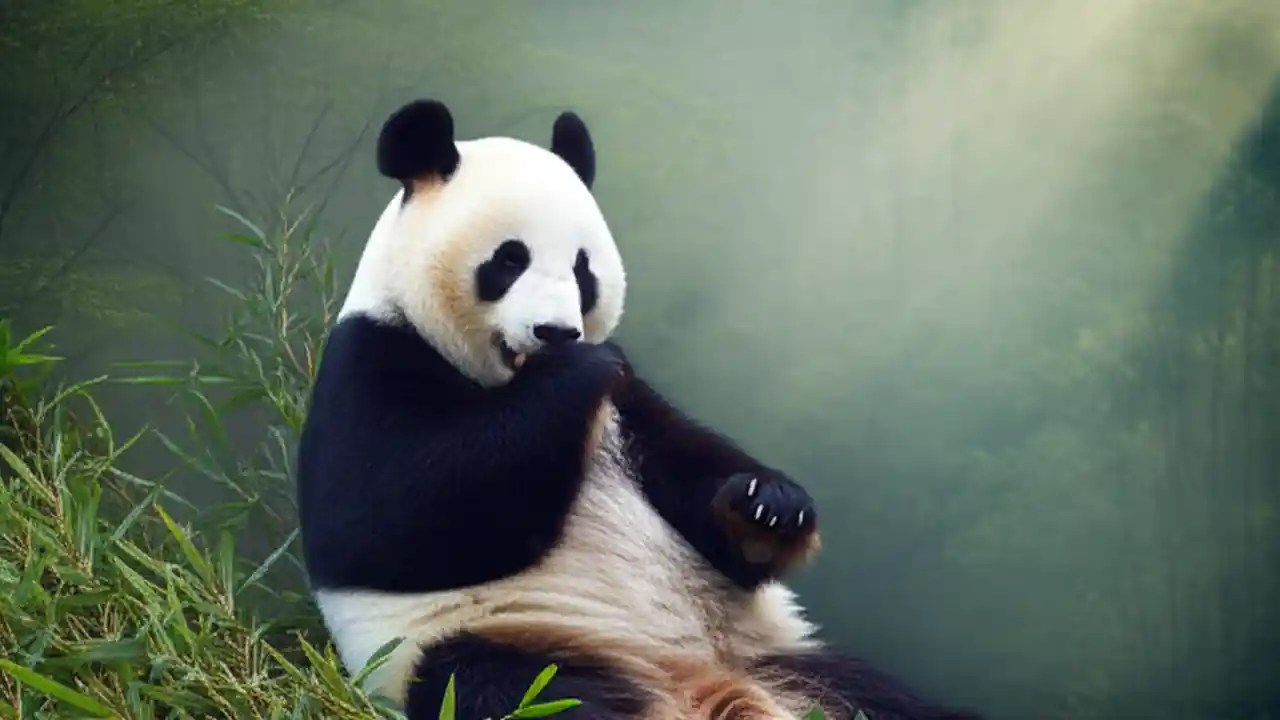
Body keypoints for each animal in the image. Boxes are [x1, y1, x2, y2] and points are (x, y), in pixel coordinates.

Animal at [296, 98, 978, 720]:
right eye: (509, 260)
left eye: (582, 269)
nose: (556, 332)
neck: (506, 385)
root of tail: (695, 680)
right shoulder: (369, 364)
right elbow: (391, 519)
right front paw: (579, 367)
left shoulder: (630, 410)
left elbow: (694, 481)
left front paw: (769, 508)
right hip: (499, 645)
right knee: (516, 692)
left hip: (792, 661)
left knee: (884, 698)